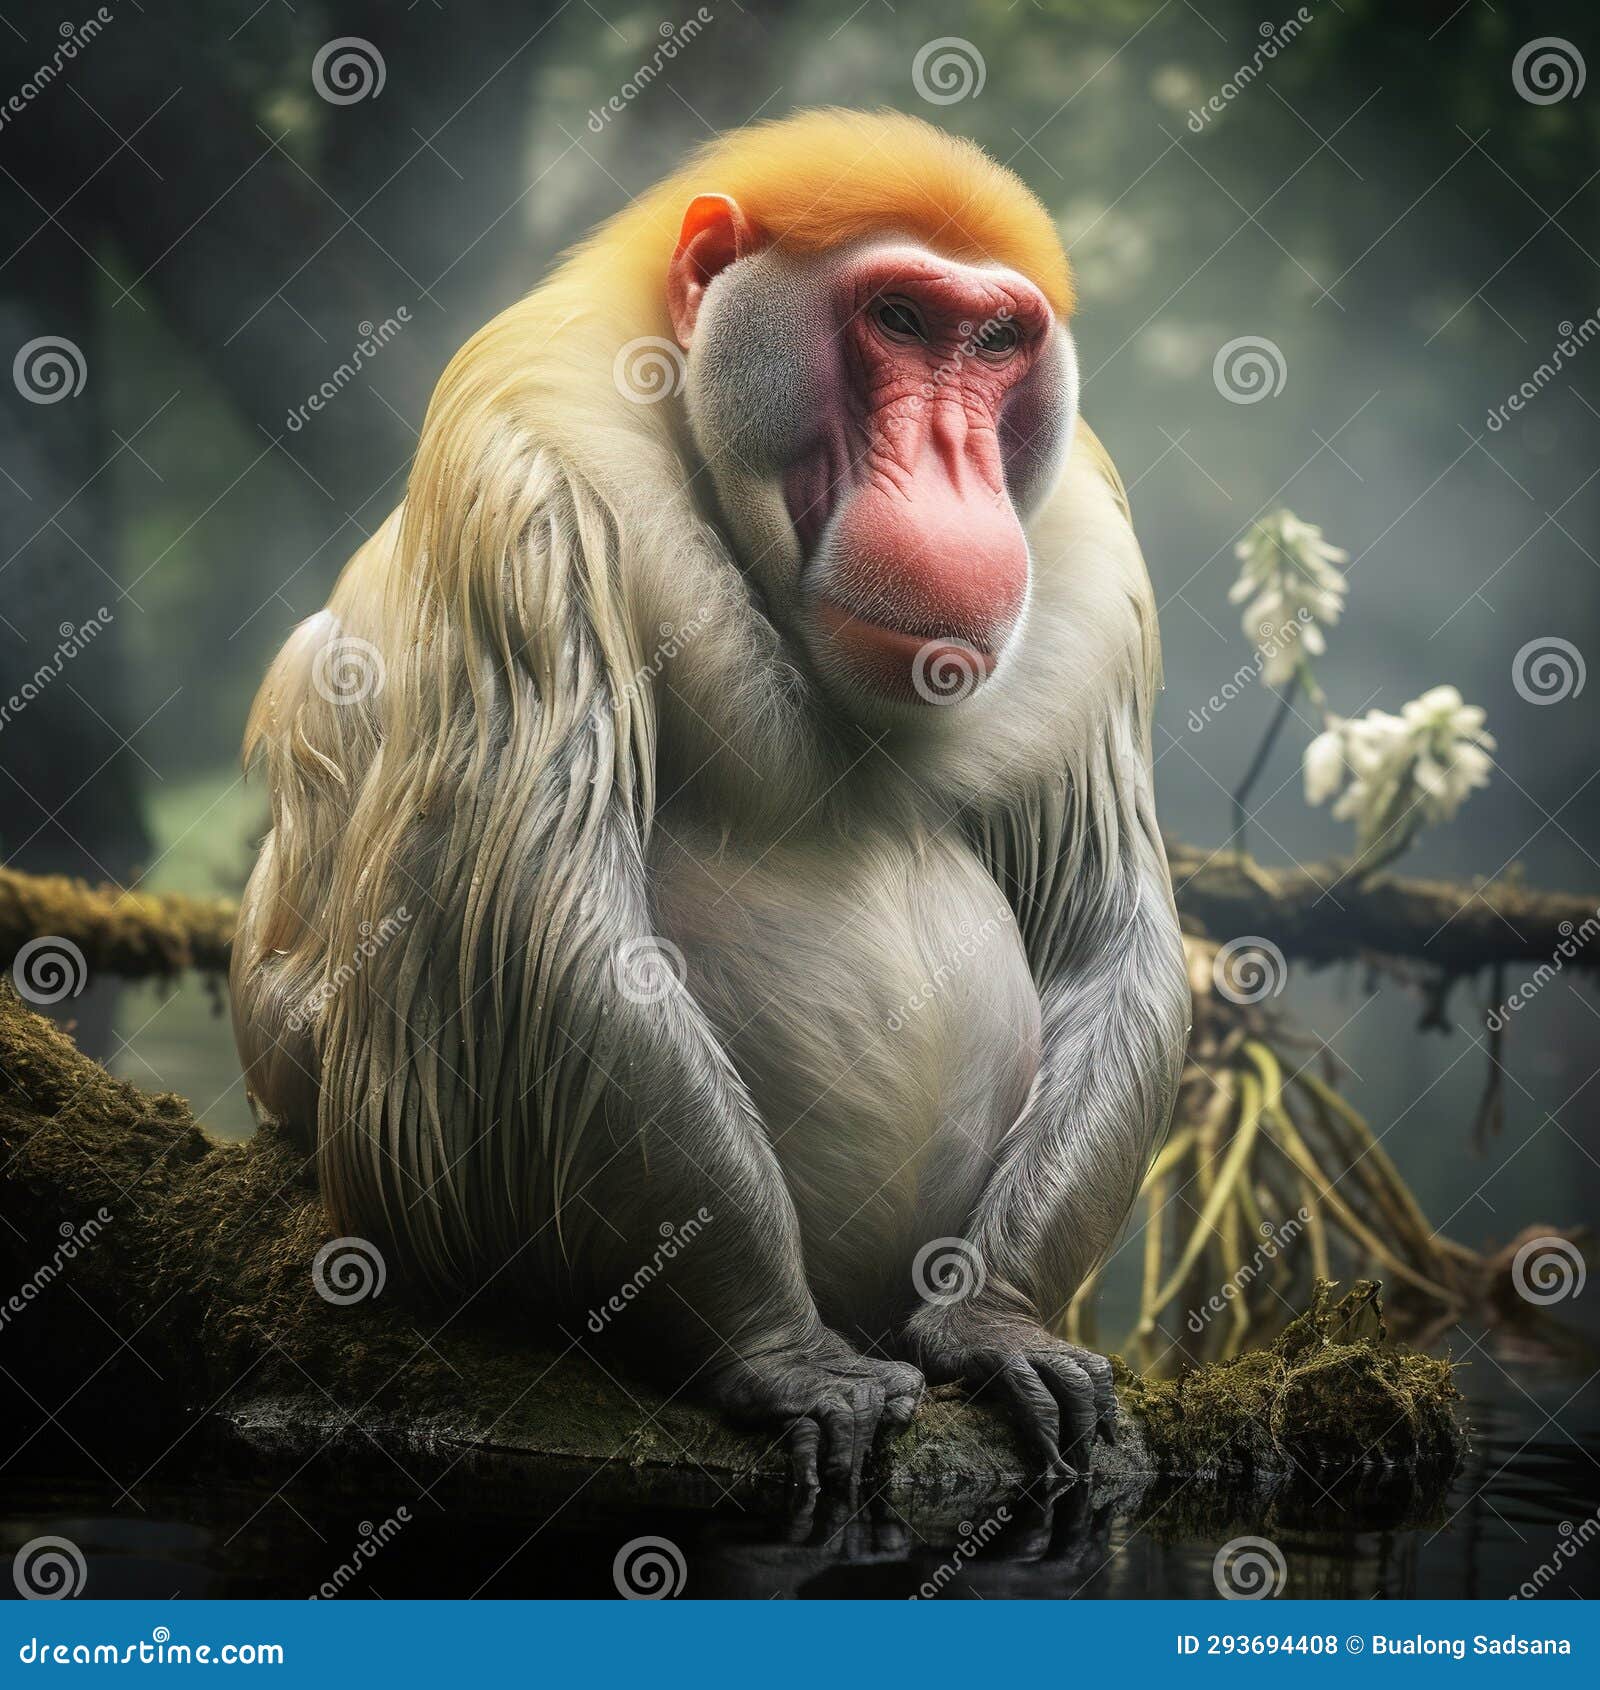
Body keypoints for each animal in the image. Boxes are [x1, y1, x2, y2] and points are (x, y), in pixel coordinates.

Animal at [231, 108, 1190, 1494]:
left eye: (995, 341)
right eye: (900, 317)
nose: (952, 469)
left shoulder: (1092, 551)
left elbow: (1103, 939)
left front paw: (996, 1319)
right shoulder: (529, 461)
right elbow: (535, 931)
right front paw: (774, 1346)